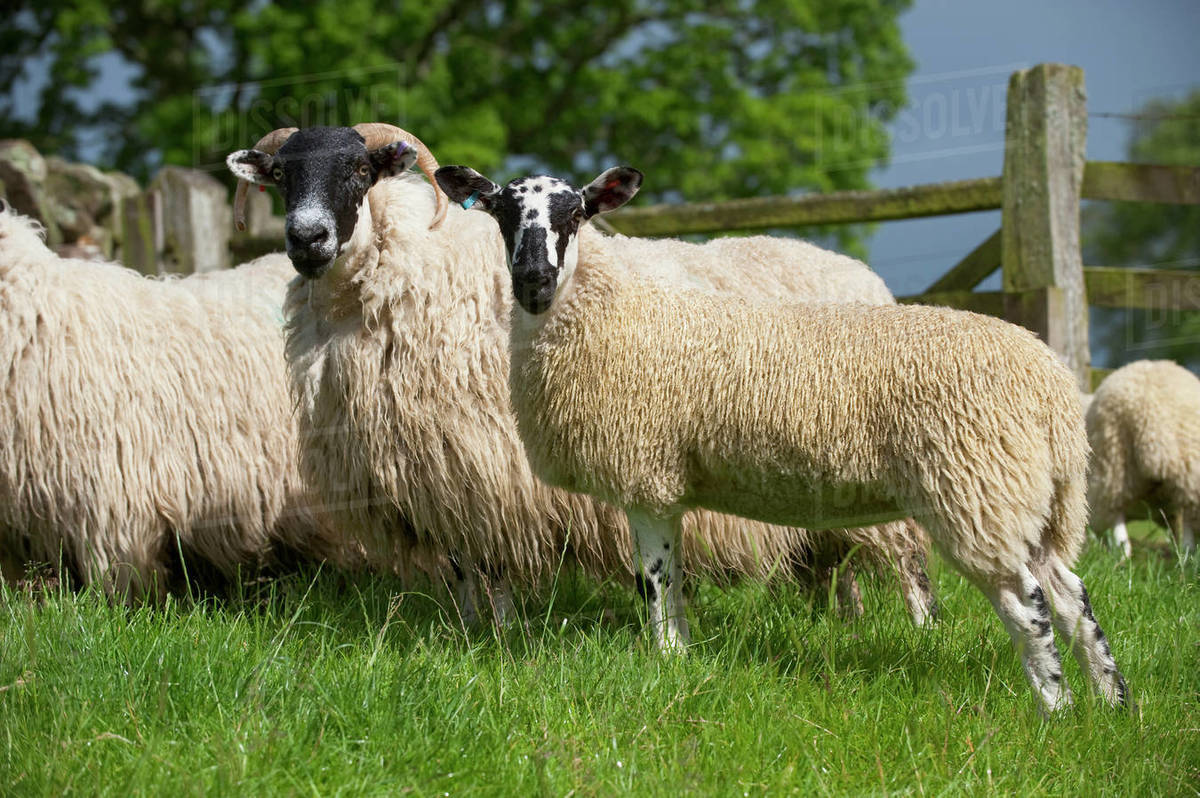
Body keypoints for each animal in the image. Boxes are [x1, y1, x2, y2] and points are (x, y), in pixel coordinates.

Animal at [226, 125, 935, 626]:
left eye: (357, 169)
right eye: (282, 177)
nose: (307, 239)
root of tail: (859, 274)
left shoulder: (488, 468)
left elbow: (490, 567)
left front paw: (501, 639)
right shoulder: (439, 475)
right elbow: (461, 571)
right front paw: (468, 635)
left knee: (909, 557)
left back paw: (917, 627)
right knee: (832, 562)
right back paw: (839, 622)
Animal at [434, 164, 1130, 714]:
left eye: (575, 213)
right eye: (501, 213)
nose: (533, 280)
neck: (609, 310)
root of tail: (1053, 390)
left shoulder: (645, 477)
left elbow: (655, 583)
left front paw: (664, 661)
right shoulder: (667, 487)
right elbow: (675, 587)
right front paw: (683, 658)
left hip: (976, 489)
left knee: (1028, 602)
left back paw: (1055, 708)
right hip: (1025, 496)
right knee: (1071, 595)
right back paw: (1111, 703)